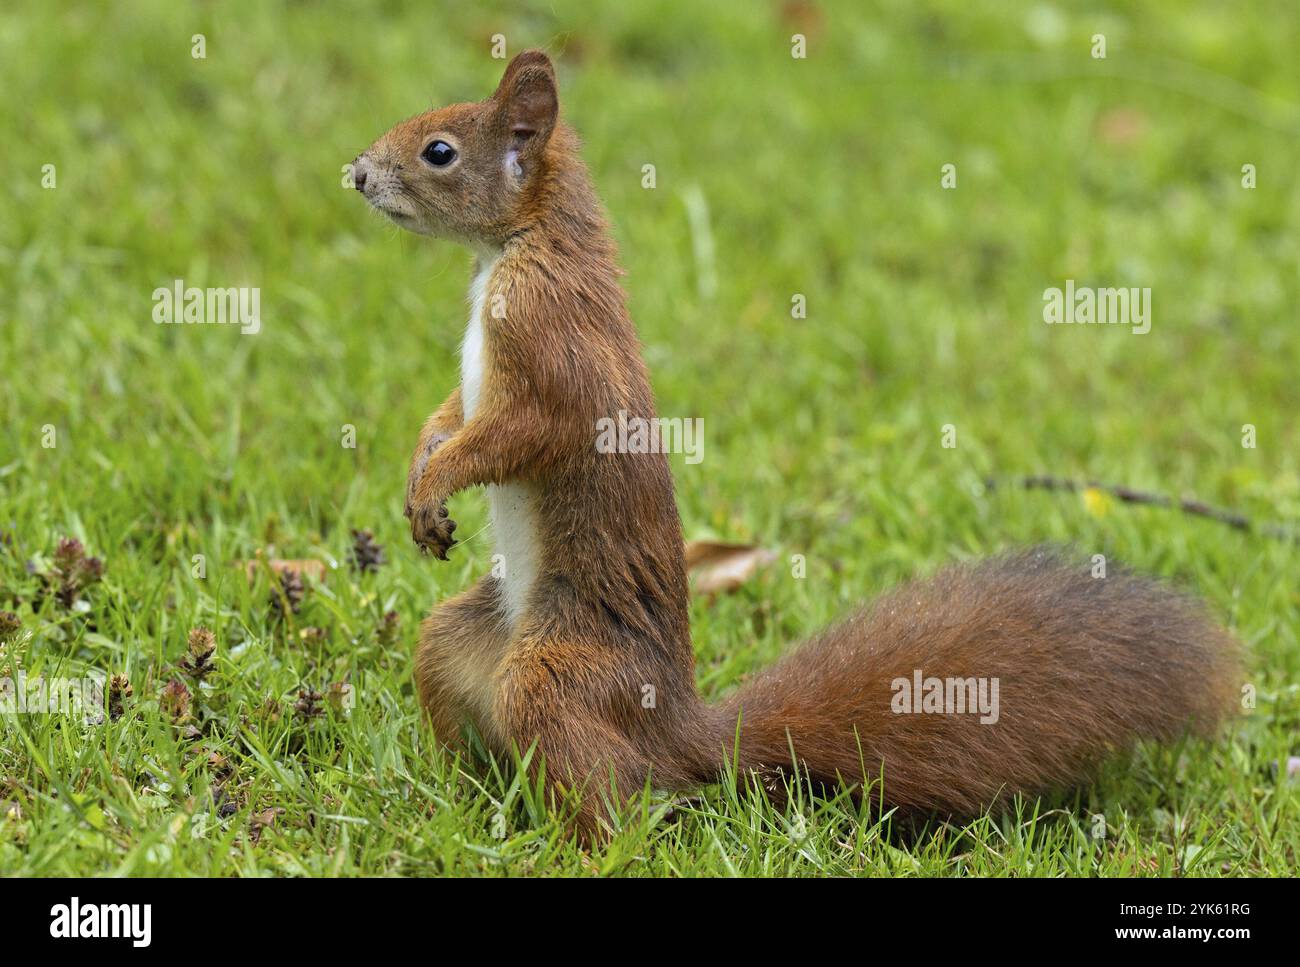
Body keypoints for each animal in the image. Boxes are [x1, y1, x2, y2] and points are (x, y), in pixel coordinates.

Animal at [350, 50, 1241, 840]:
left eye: (439, 151)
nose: (356, 173)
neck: (511, 250)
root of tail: (680, 730)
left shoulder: (552, 345)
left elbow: (520, 432)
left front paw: (436, 481)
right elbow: (448, 413)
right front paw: (419, 477)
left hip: (560, 671)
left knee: (620, 794)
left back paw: (579, 846)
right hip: (462, 641)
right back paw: (459, 801)